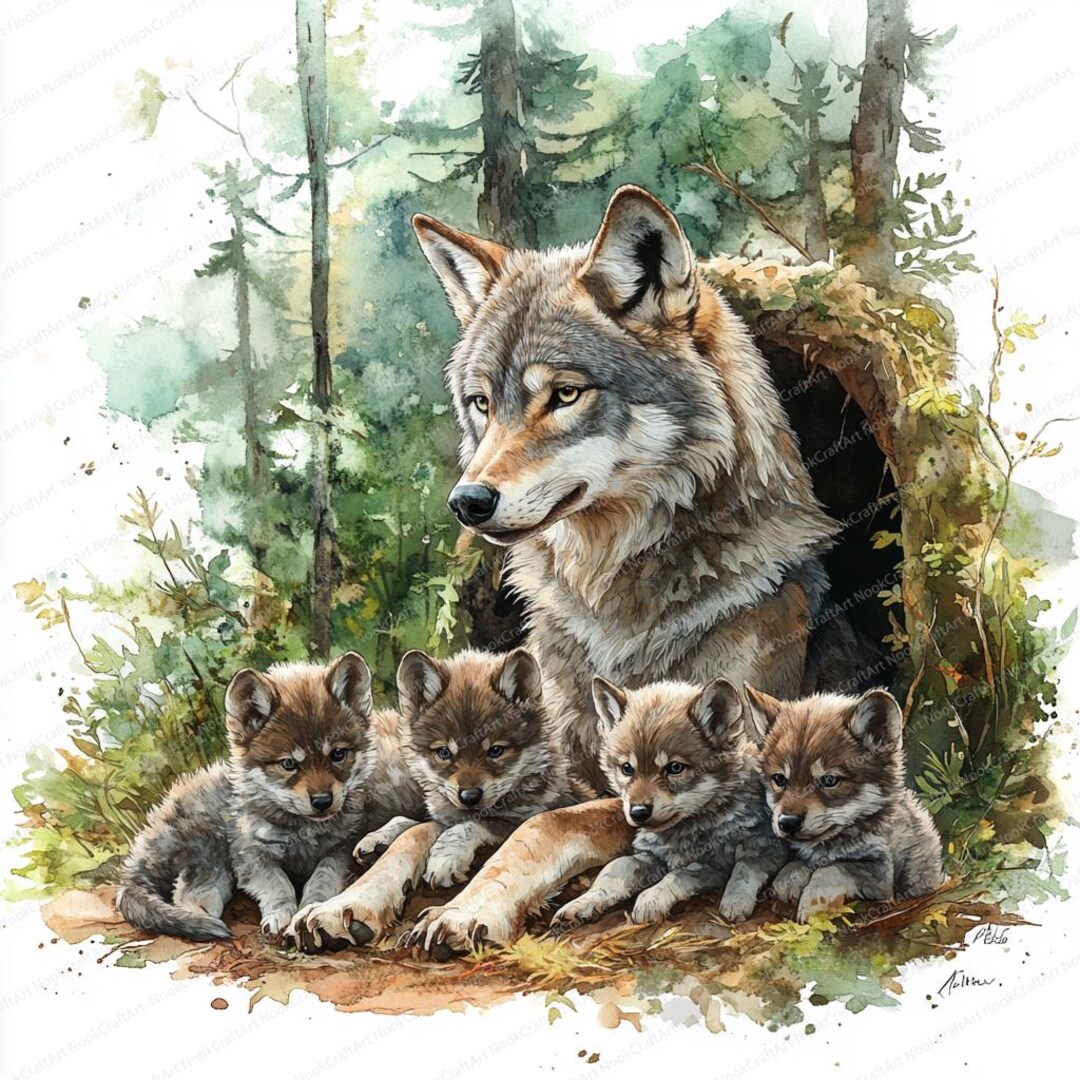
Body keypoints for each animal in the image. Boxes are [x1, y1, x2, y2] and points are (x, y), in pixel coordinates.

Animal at [117, 653, 423, 941]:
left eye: (338, 754)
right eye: (289, 764)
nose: (322, 801)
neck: (302, 831)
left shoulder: (339, 850)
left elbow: (320, 879)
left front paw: (307, 910)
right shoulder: (251, 855)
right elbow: (278, 884)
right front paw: (281, 914)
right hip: (211, 858)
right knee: (187, 896)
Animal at [286, 647, 576, 950]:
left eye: (495, 750)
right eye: (444, 753)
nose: (469, 796)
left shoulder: (541, 810)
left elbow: (475, 825)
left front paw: (446, 857)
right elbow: (423, 827)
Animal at [552, 677, 788, 929]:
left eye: (674, 768)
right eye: (627, 769)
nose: (638, 812)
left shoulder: (737, 857)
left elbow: (684, 875)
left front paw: (651, 900)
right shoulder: (650, 855)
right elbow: (614, 870)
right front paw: (582, 903)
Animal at [744, 685, 944, 923]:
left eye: (830, 780)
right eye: (780, 779)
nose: (788, 822)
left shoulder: (880, 874)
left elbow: (831, 870)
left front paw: (812, 904)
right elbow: (798, 864)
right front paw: (790, 880)